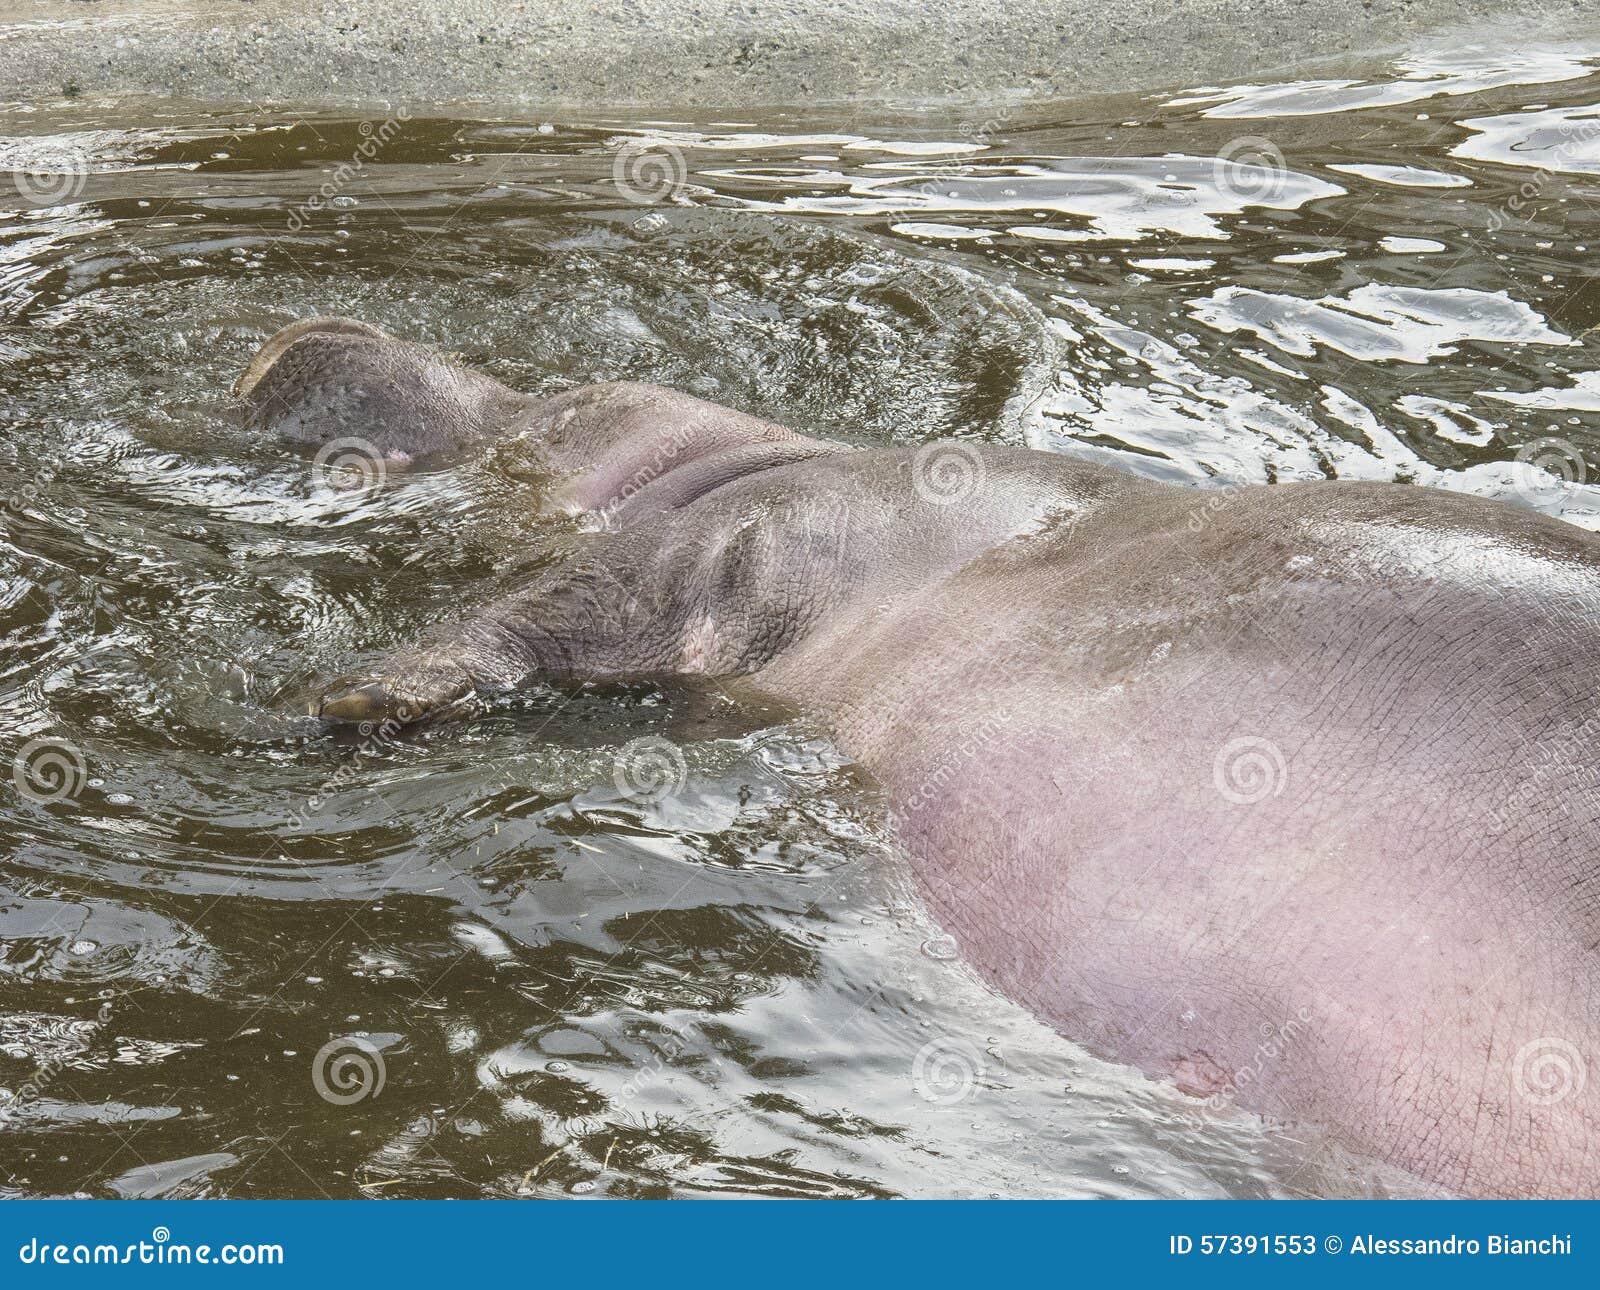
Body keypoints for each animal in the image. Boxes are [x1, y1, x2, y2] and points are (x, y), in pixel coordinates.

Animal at [238, 316, 1599, 1199]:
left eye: (574, 402)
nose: (294, 340)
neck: (750, 452)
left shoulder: (742, 544)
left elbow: (563, 608)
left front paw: (345, 699)